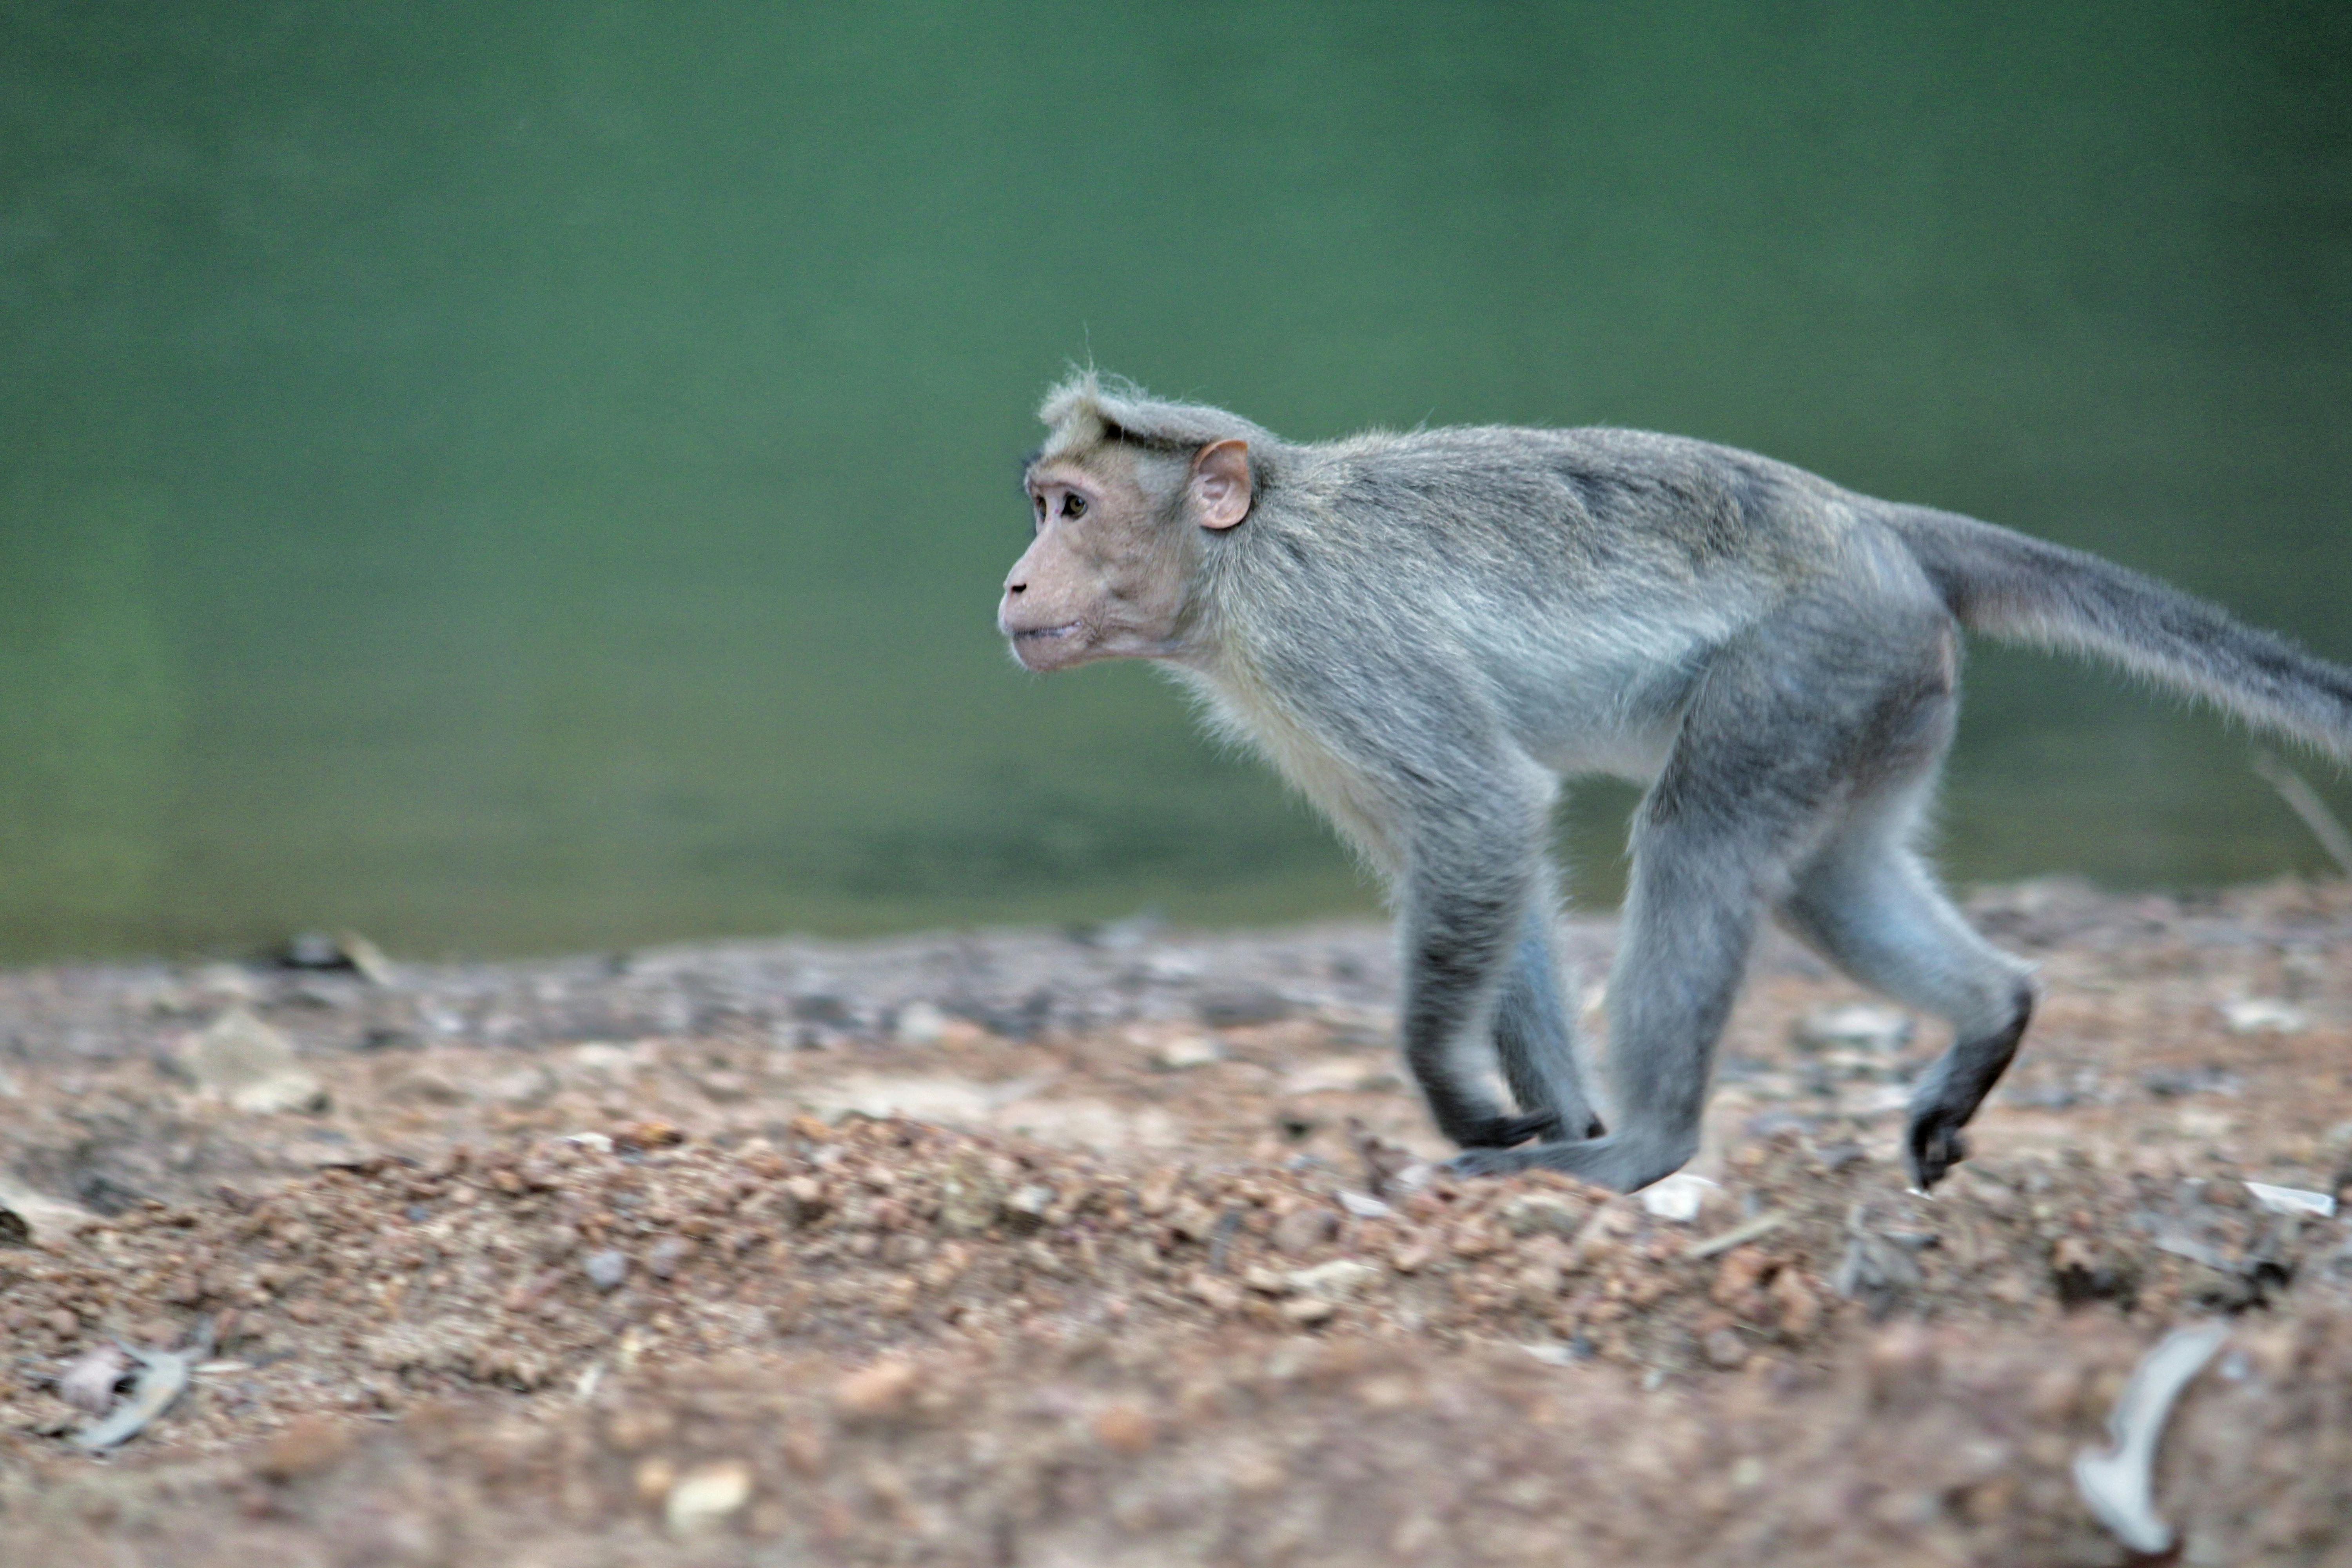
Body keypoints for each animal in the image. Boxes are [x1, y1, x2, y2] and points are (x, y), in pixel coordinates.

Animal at [997, 373, 2352, 1193]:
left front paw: (1457, 1088)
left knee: (1701, 838)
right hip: (1876, 688)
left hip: (1812, 656)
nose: (1013, 579)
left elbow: (1482, 817)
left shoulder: (1319, 641)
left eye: (1072, 510)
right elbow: (1474, 856)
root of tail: (1877, 525)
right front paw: (1554, 1112)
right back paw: (1991, 1015)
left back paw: (1648, 1149)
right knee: (1825, 879)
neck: (1240, 557)